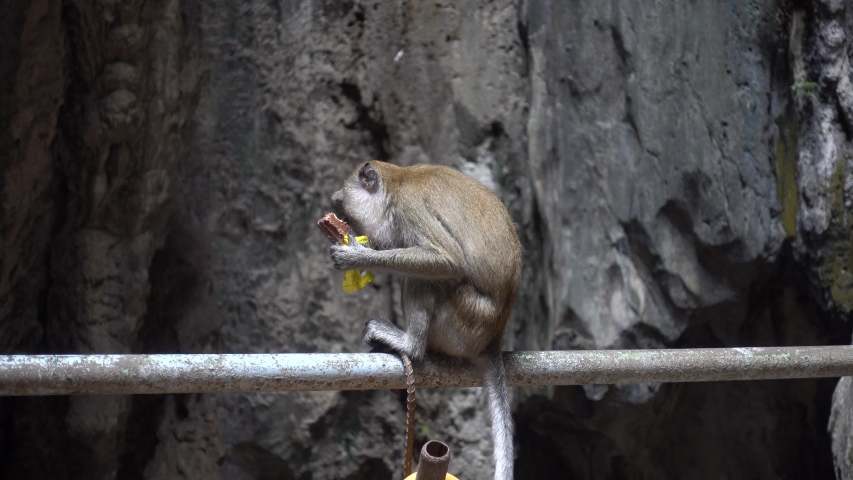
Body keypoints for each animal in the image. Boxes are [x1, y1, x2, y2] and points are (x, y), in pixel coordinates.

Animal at [329, 160, 522, 480]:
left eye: (344, 212)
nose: (347, 227)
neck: (398, 181)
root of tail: (493, 338)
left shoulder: (410, 207)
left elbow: (448, 261)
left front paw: (357, 256)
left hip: (462, 323)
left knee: (425, 279)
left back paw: (410, 344)